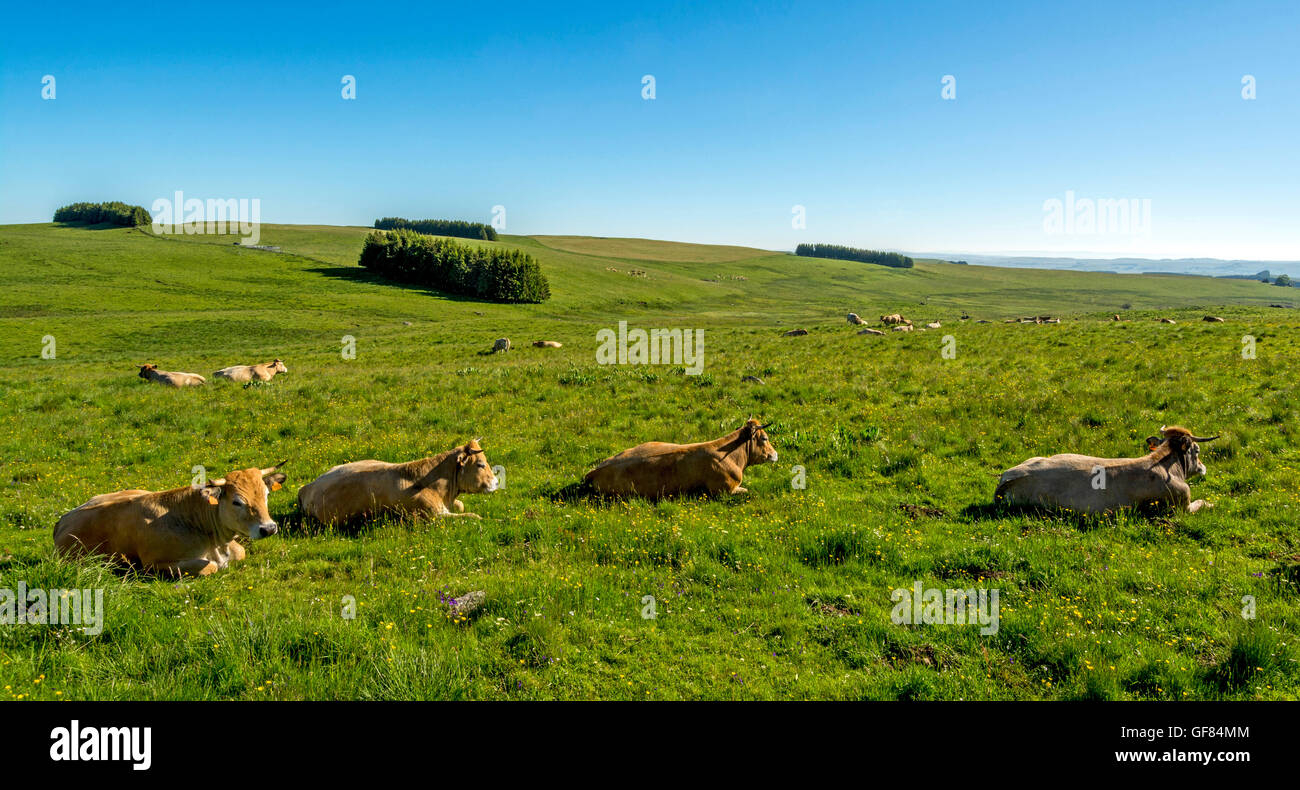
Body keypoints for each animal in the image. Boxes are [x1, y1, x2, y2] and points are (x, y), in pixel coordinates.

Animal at [53, 463, 288, 577]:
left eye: (266, 494)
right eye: (237, 502)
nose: (268, 528)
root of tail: (62, 520)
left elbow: (240, 552)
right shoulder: (155, 563)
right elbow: (210, 567)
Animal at [297, 440, 497, 525]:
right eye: (480, 464)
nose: (496, 482)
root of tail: (308, 487)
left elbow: (462, 506)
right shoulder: (433, 515)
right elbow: (473, 516)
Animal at [994, 426, 1219, 515]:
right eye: (1197, 450)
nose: (1203, 467)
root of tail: (1010, 476)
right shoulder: (1183, 505)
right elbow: (1203, 502)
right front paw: (1212, 503)